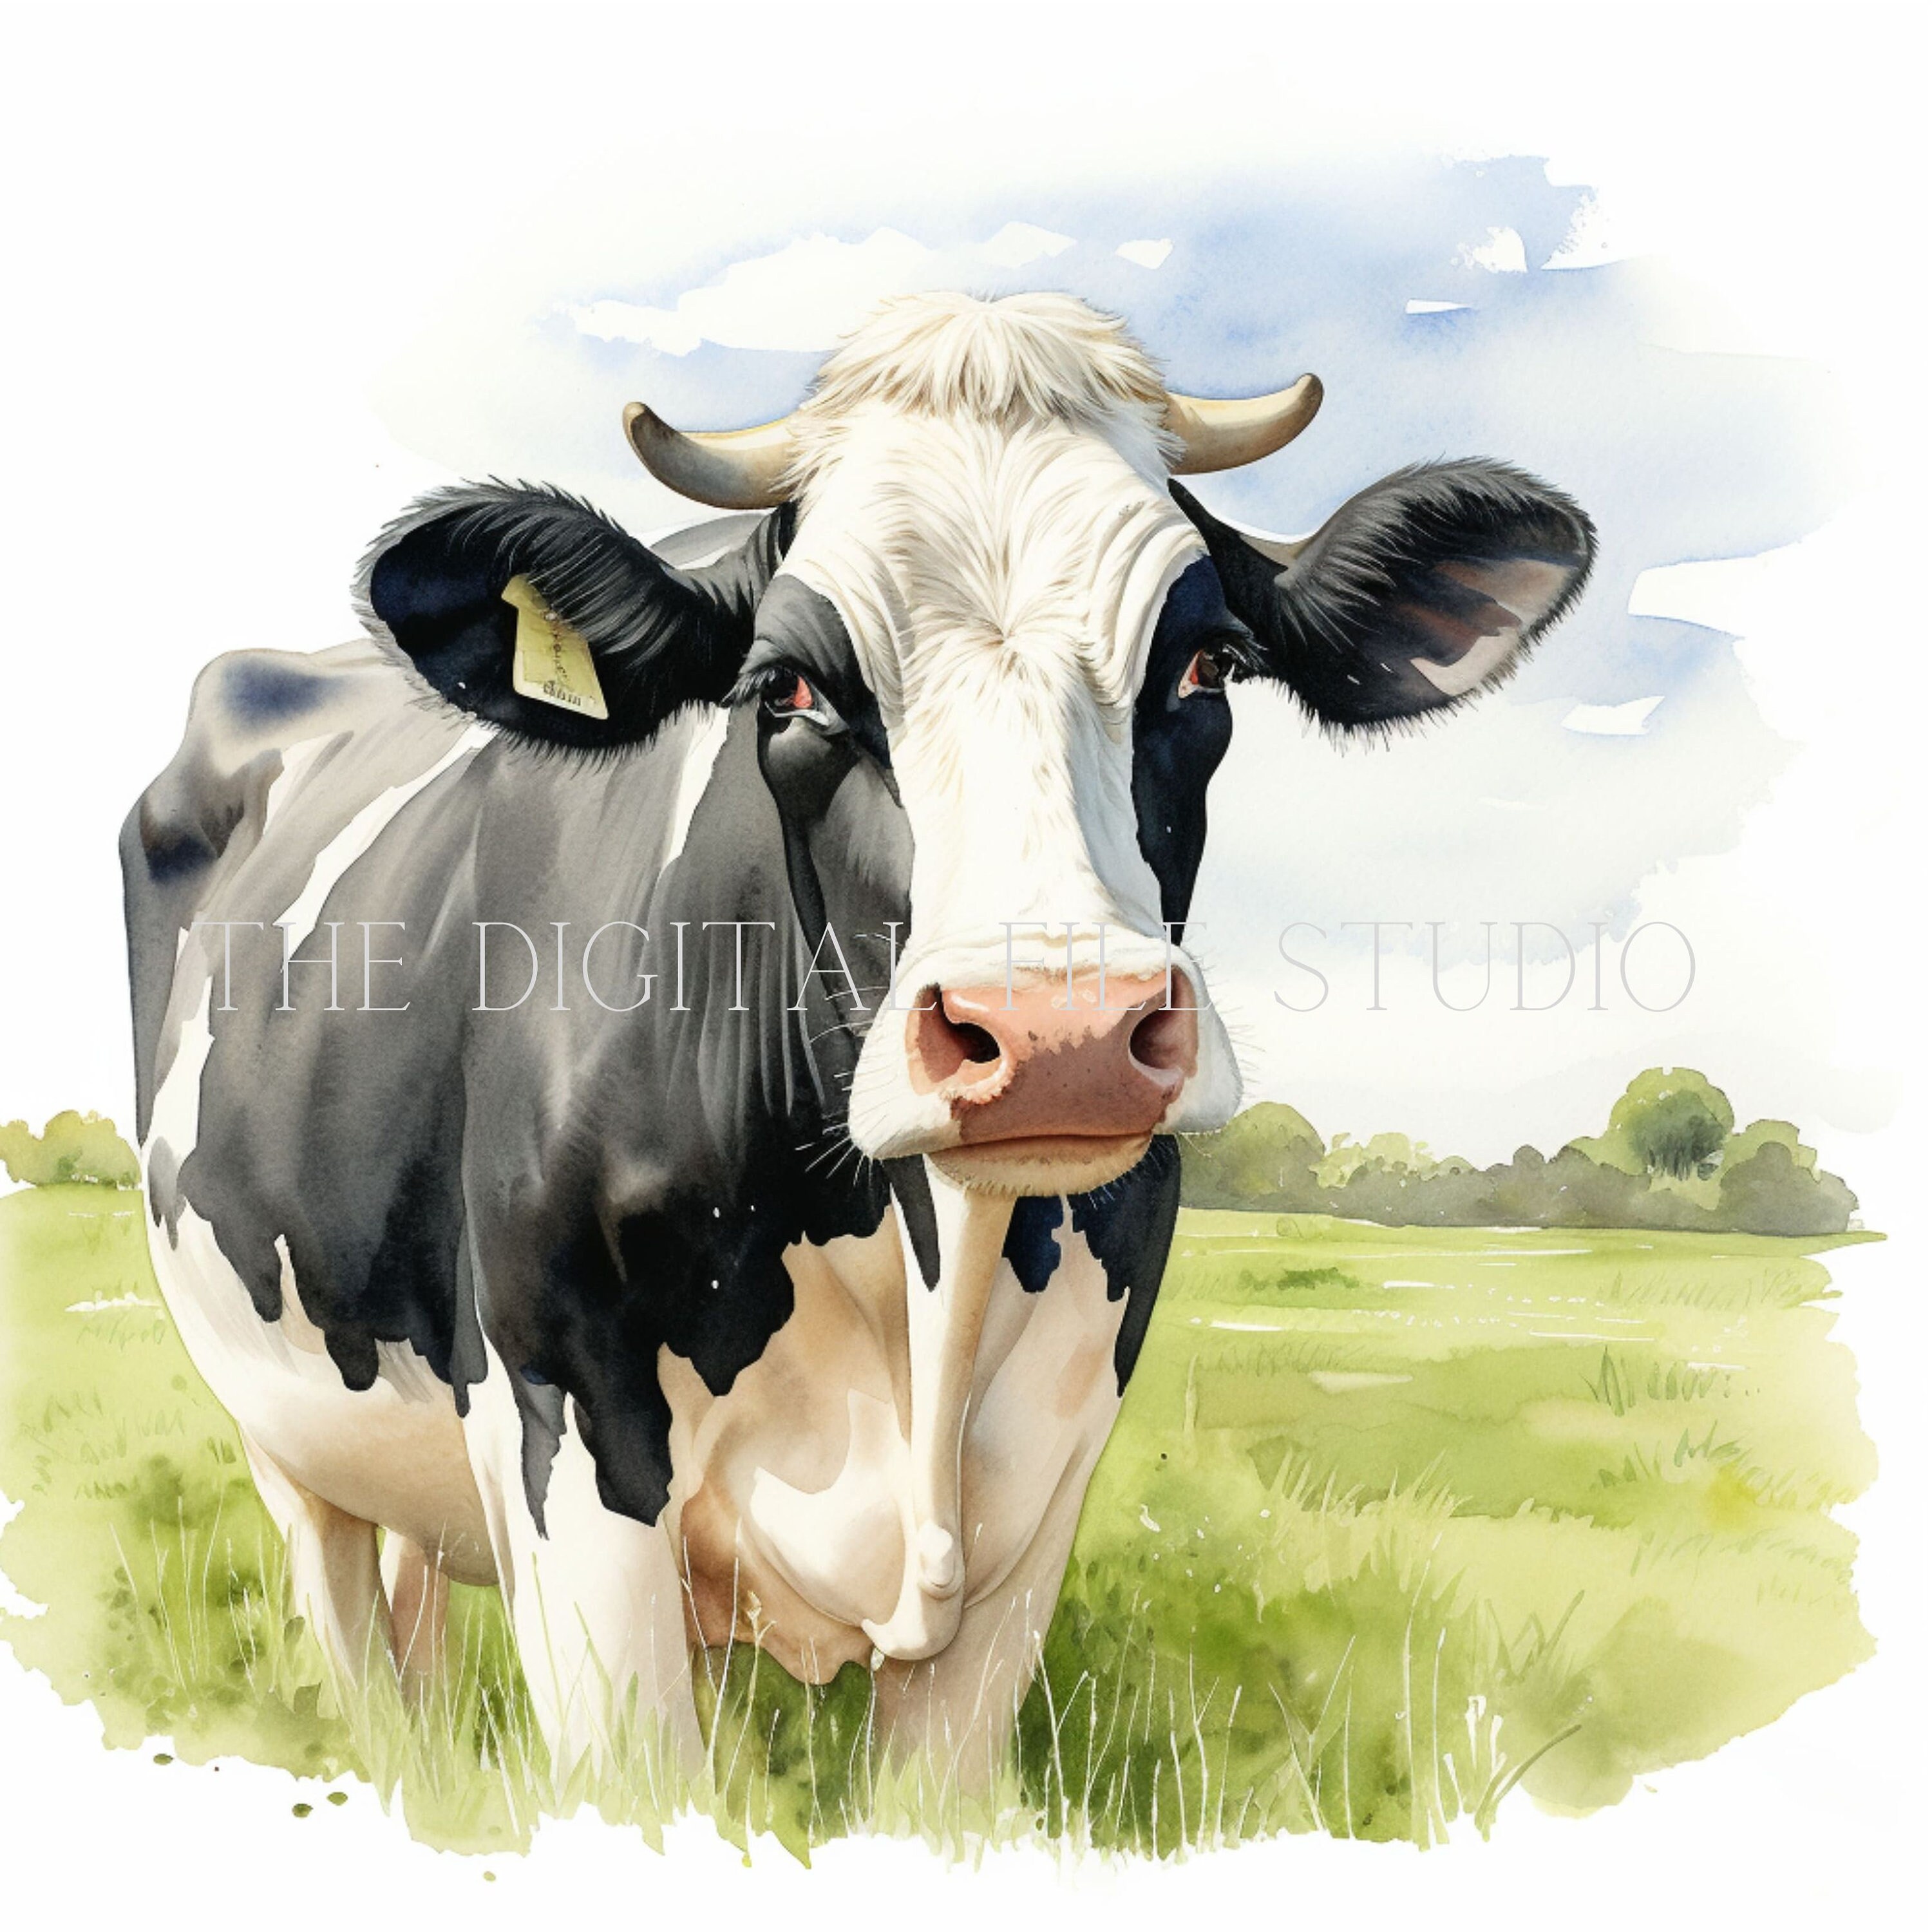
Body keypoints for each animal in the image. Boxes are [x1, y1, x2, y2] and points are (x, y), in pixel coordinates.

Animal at [123, 291, 1593, 1791]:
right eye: (789, 689)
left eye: (1206, 662)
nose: (1058, 1031)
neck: (924, 1280)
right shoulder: (570, 1448)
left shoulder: (1039, 1502)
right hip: (283, 1425)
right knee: (358, 1639)